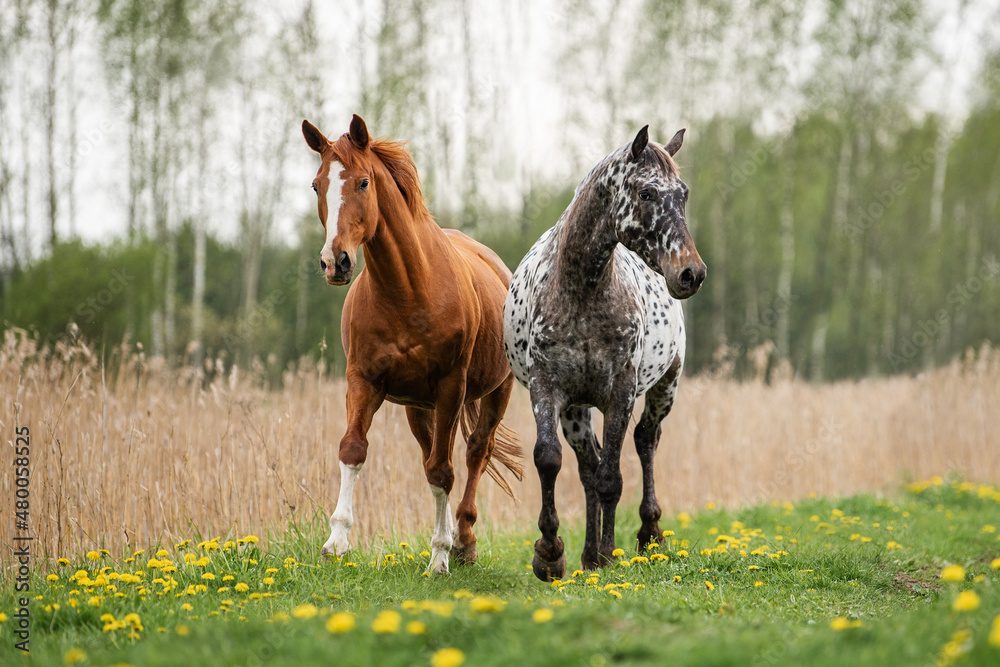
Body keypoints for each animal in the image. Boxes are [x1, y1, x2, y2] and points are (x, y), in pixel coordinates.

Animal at [302, 114, 523, 574]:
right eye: (316, 185)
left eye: (364, 182)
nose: (335, 261)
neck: (407, 291)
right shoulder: (363, 380)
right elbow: (353, 449)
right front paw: (336, 541)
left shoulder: (451, 387)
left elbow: (444, 471)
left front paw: (439, 557)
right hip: (419, 408)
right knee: (433, 455)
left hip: (497, 392)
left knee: (475, 453)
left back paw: (463, 540)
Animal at [503, 125, 706, 582]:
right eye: (646, 193)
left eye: (683, 194)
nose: (691, 273)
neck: (582, 290)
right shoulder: (547, 388)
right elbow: (550, 460)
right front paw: (550, 552)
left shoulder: (621, 392)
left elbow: (612, 477)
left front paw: (611, 554)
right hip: (577, 410)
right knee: (587, 466)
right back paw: (587, 555)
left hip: (665, 386)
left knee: (645, 441)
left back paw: (647, 534)